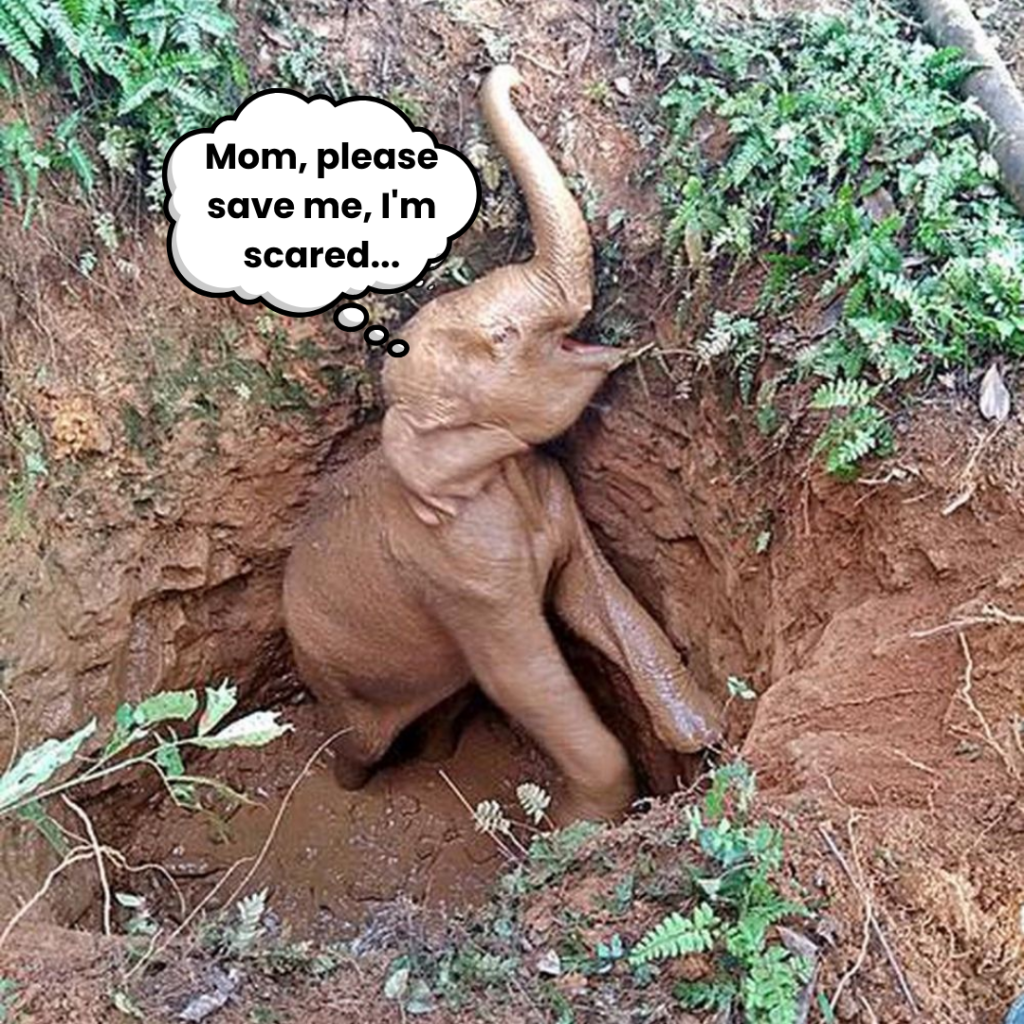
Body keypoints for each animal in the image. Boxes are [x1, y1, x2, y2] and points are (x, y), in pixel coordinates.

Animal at [282, 65, 723, 823]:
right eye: (501, 337)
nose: (512, 75)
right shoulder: (458, 565)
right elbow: (522, 674)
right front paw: (579, 823)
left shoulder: (551, 497)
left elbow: (593, 595)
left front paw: (703, 733)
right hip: (328, 668)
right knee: (361, 743)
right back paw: (350, 785)